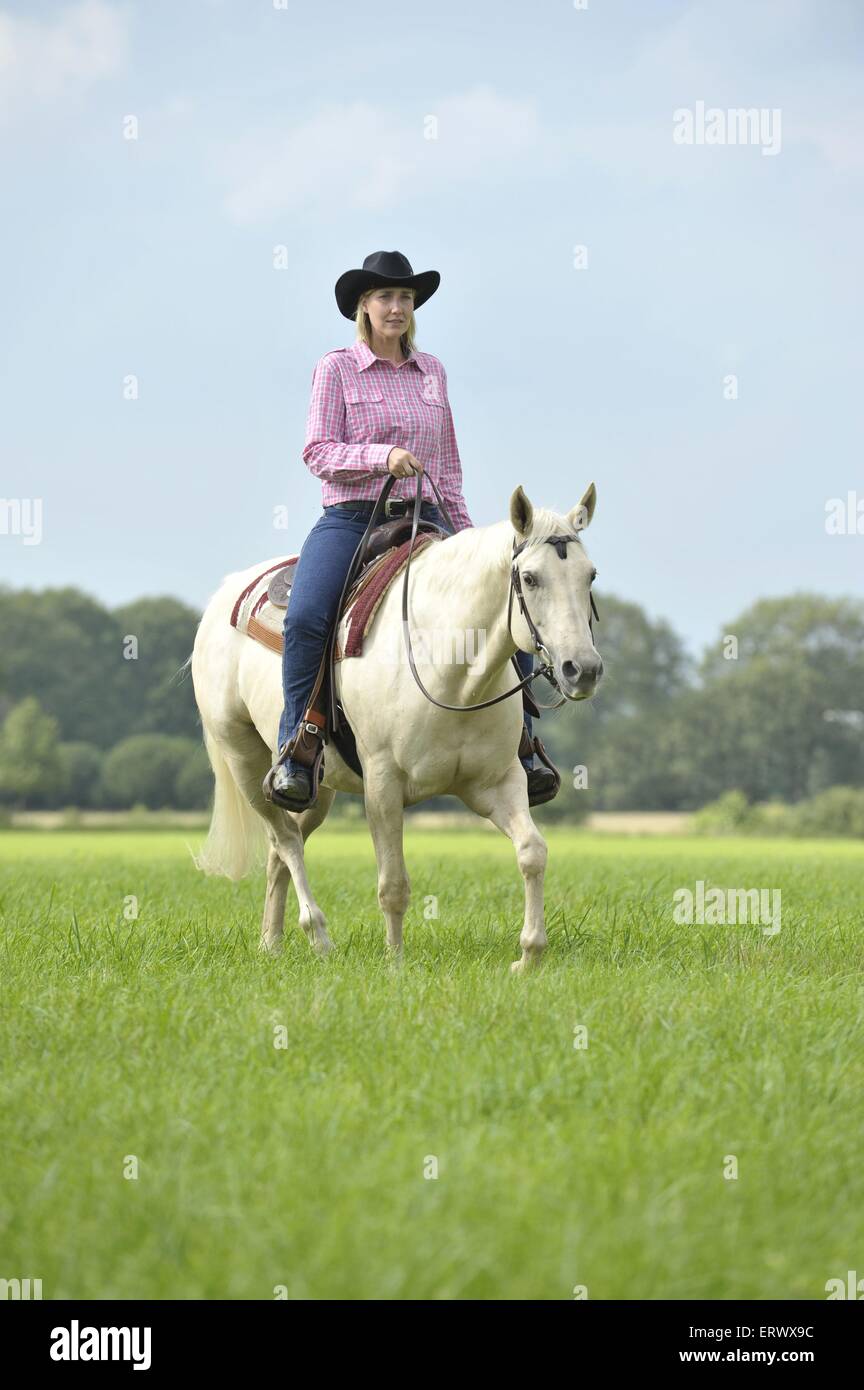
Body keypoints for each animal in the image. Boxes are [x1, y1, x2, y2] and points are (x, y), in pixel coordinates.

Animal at [189, 483, 603, 972]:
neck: (449, 671)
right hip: (246, 764)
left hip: (317, 787)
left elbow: (533, 852)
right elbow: (393, 884)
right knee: (285, 838)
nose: (583, 670)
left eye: (589, 576)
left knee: (280, 850)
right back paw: (318, 936)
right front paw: (395, 964)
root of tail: (223, 597)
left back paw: (271, 942)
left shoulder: (498, 783)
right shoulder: (383, 786)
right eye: (532, 578)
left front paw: (529, 956)